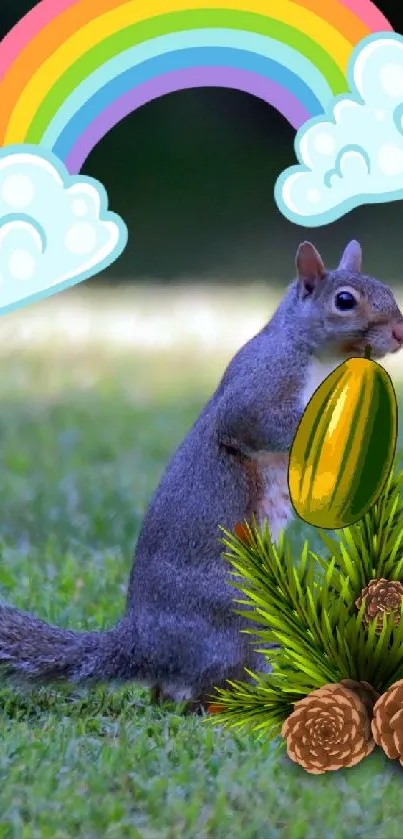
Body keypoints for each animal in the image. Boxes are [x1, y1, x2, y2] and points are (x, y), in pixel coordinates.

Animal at [0, 239, 402, 712]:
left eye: (384, 287)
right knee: (196, 692)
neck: (319, 357)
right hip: (238, 612)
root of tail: (145, 644)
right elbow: (259, 424)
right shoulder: (260, 385)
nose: (399, 332)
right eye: (344, 301)